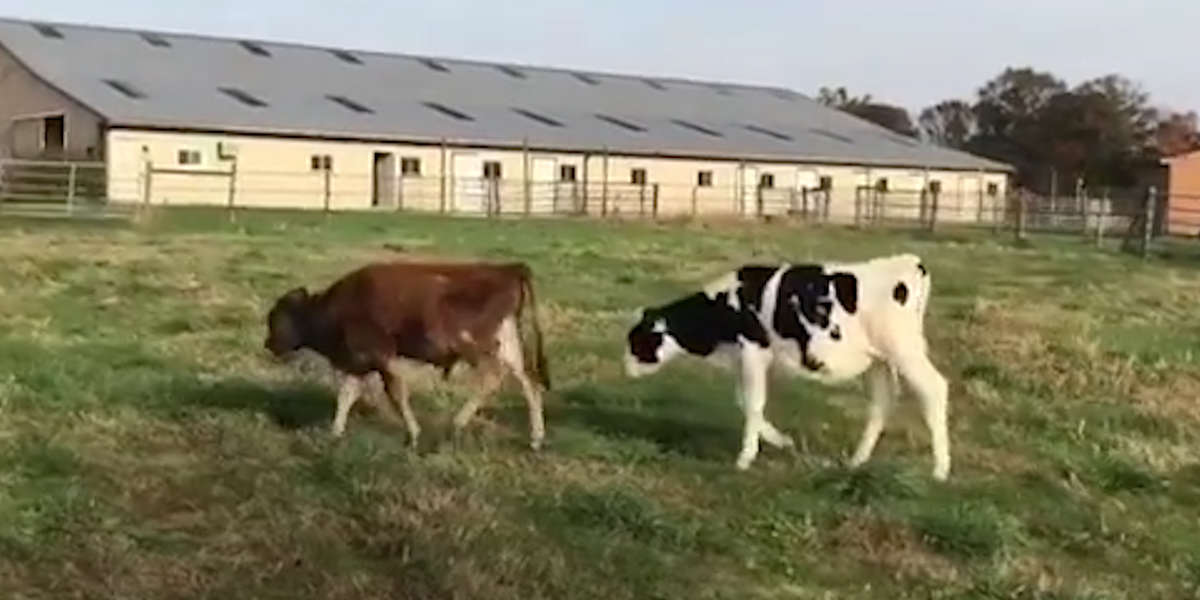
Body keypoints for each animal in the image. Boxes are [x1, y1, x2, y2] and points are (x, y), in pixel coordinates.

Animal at [263, 260, 550, 450]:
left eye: (278, 318)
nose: (269, 344)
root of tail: (508, 269)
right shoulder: (359, 362)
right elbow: (347, 395)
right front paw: (335, 432)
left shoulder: (380, 356)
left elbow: (396, 394)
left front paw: (413, 435)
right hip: (507, 344)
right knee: (529, 382)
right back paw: (536, 438)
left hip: (476, 346)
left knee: (493, 377)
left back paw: (456, 424)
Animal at [623, 254, 950, 480]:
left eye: (636, 341)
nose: (626, 367)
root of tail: (909, 262)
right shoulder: (746, 358)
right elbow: (744, 402)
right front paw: (783, 441)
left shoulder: (753, 351)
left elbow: (753, 404)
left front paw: (744, 459)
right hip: (879, 360)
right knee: (882, 403)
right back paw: (856, 461)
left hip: (904, 350)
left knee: (934, 389)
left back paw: (940, 470)